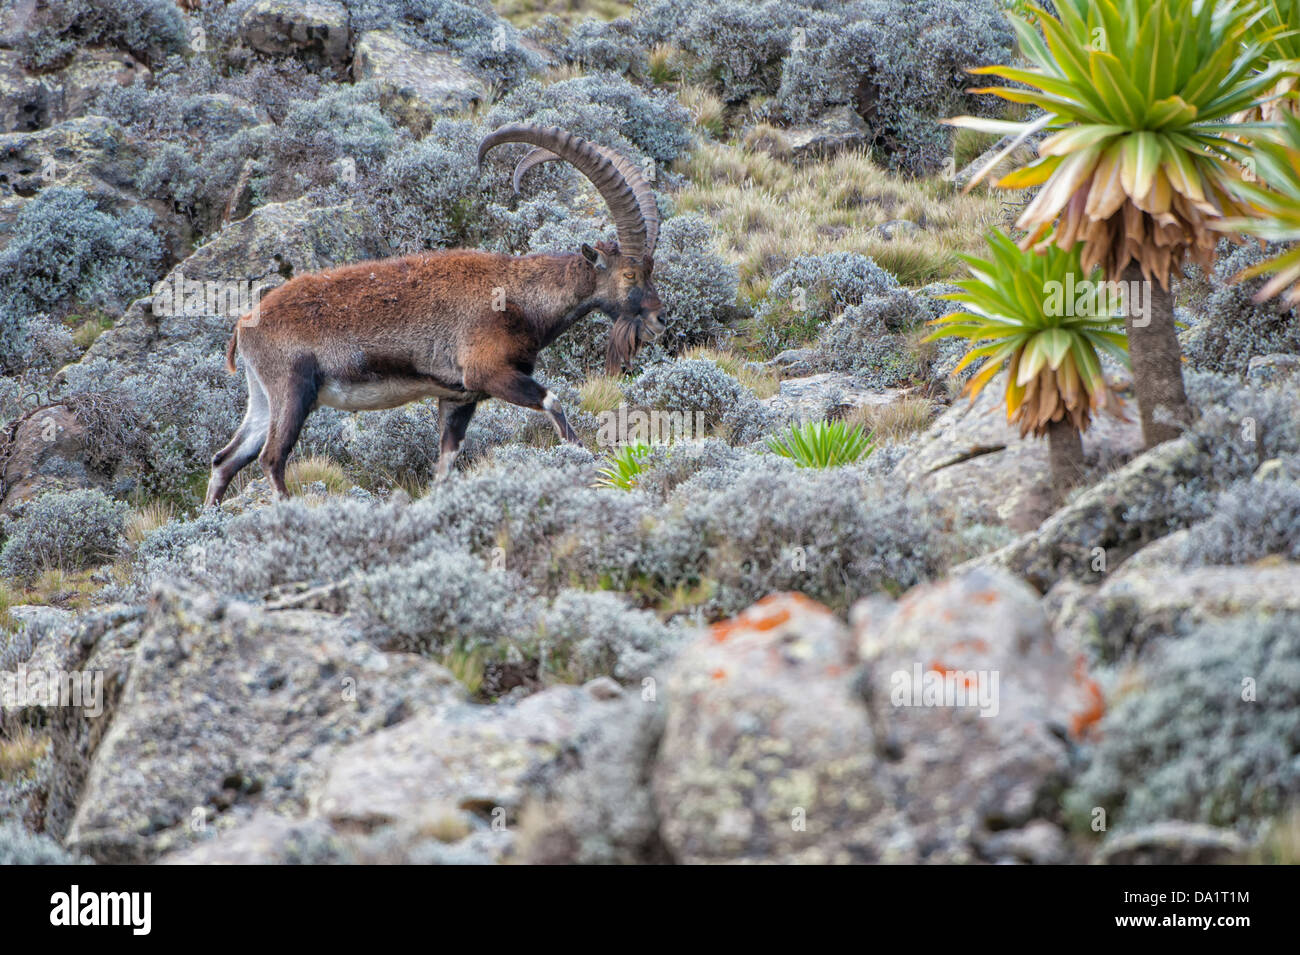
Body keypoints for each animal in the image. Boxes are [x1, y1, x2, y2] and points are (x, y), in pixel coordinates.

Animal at [204, 124, 665, 506]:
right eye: (629, 273)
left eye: (651, 269)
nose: (659, 321)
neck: (518, 296)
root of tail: (243, 327)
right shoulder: (490, 373)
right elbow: (554, 402)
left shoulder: (457, 397)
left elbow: (446, 461)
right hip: (293, 388)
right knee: (270, 457)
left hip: (263, 396)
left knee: (226, 459)